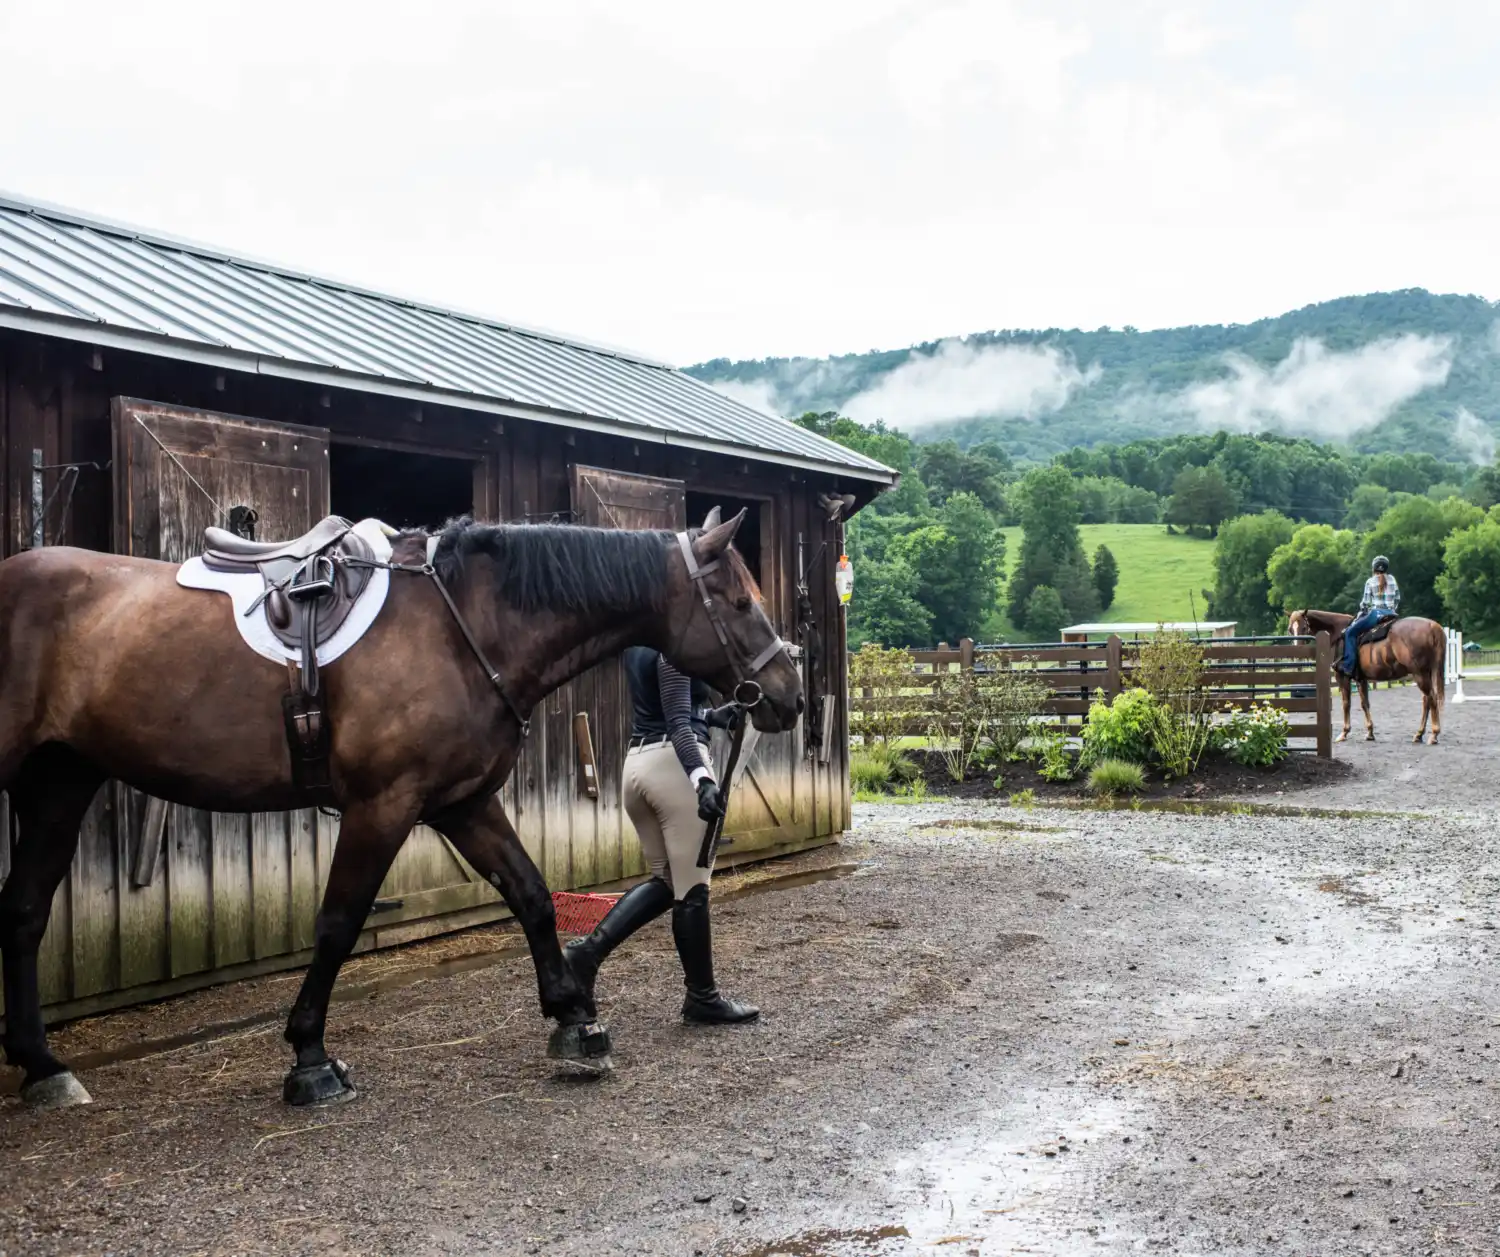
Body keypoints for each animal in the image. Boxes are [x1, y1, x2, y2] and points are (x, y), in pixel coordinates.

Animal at [0, 508, 801, 1109]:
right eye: (739, 603)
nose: (789, 694)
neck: (460, 628)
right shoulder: (382, 806)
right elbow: (338, 923)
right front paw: (310, 1058)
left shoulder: (462, 802)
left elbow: (533, 895)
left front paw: (574, 1018)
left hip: (60, 782)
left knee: (26, 912)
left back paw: (44, 1067)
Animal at [1288, 609, 1446, 745]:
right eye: (1290, 629)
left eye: (1303, 627)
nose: (1296, 652)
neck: (1338, 631)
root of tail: (1433, 626)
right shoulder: (1361, 679)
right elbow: (1365, 704)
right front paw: (1370, 733)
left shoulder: (1342, 677)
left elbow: (1346, 703)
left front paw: (1344, 733)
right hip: (1424, 674)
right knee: (1426, 700)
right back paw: (1419, 734)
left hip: (1419, 674)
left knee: (1432, 698)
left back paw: (1434, 734)